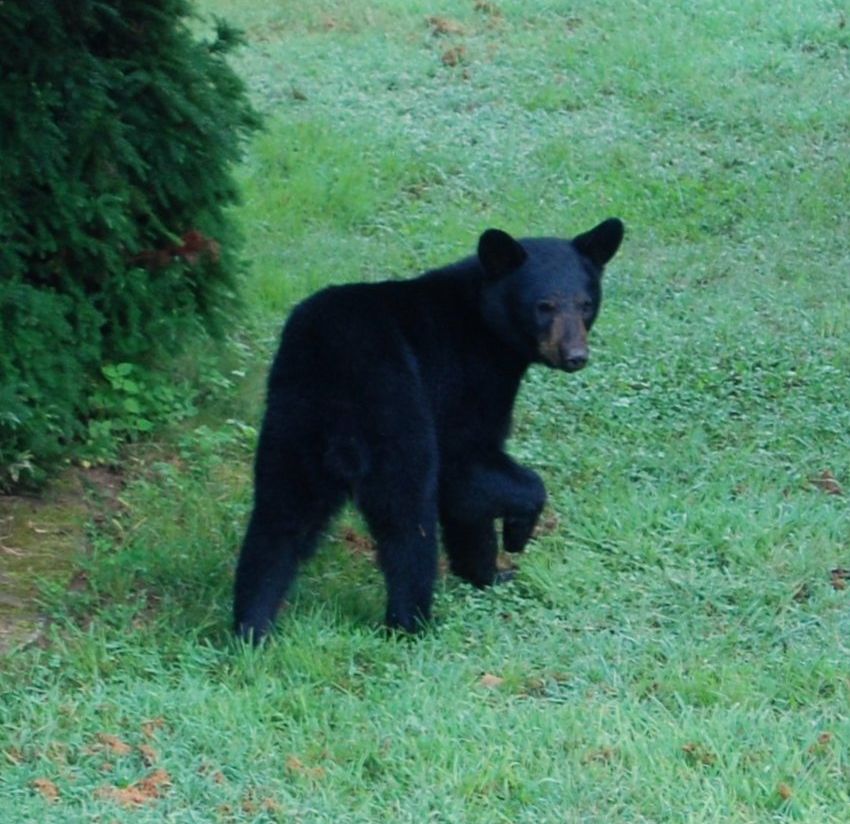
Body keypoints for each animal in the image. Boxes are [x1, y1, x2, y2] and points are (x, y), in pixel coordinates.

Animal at [234, 217, 624, 642]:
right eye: (544, 306)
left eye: (586, 304)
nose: (575, 356)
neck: (482, 321)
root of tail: (333, 363)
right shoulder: (465, 379)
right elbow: (466, 465)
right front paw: (511, 543)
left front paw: (486, 574)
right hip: (394, 410)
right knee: (408, 518)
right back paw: (412, 620)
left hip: (291, 422)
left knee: (280, 517)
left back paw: (250, 625)